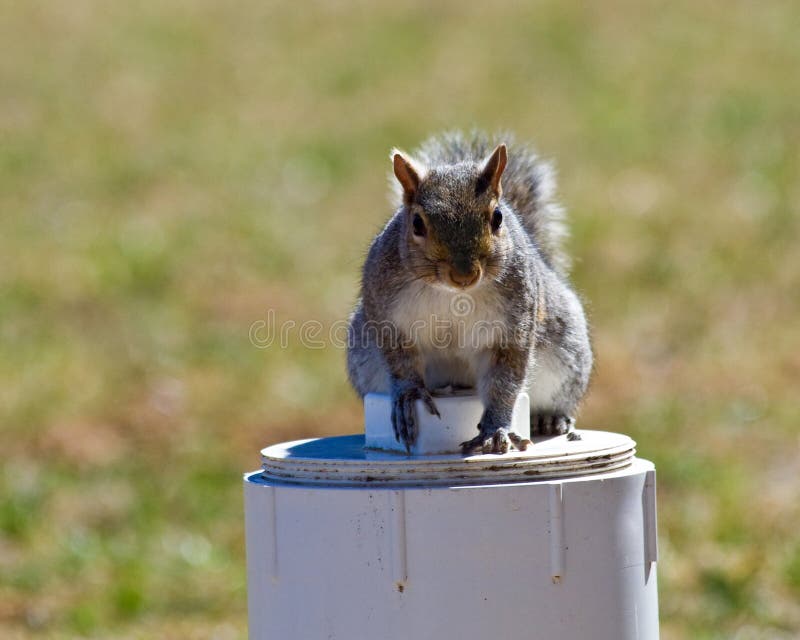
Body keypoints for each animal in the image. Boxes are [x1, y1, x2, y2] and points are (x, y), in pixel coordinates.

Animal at [347, 131, 592, 454]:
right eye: (416, 223)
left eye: (498, 217)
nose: (464, 275)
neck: (453, 294)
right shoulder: (385, 313)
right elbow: (400, 362)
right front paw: (410, 394)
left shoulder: (514, 326)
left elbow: (504, 382)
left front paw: (496, 429)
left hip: (566, 351)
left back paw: (549, 418)